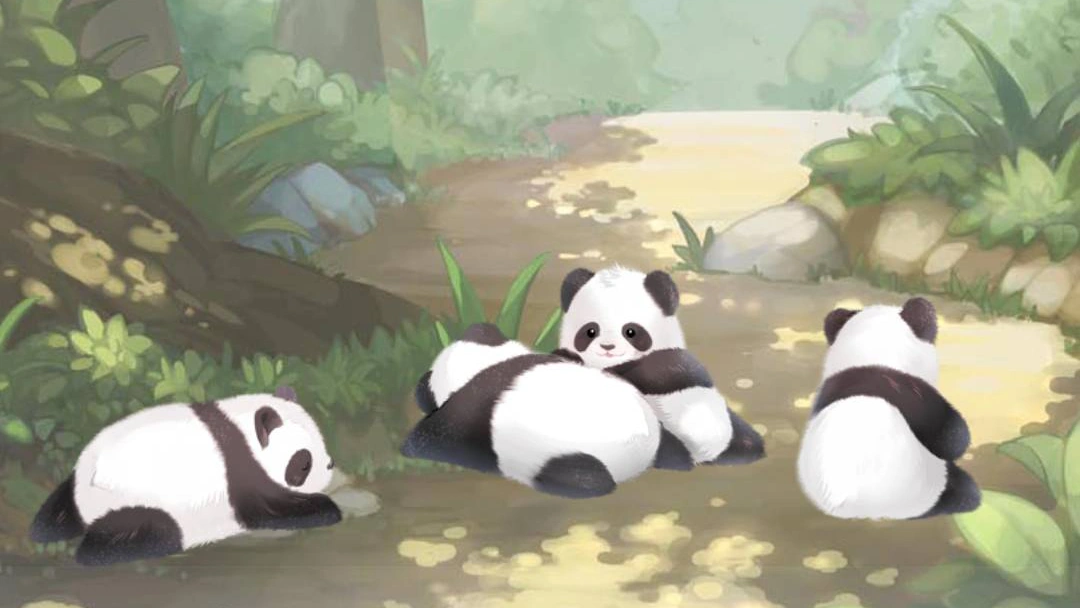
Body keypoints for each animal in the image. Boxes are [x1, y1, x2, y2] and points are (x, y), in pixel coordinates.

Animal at [29, 386, 342, 566]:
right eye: (304, 462)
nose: (329, 465)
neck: (240, 427)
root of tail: (88, 489)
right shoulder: (241, 471)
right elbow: (267, 507)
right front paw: (326, 507)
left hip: (71, 489)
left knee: (55, 513)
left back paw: (44, 531)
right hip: (140, 506)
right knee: (152, 532)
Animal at [552, 265, 765, 469]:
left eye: (631, 331)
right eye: (590, 331)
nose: (607, 347)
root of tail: (703, 455)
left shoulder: (672, 361)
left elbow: (670, 372)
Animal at [796, 297, 982, 520]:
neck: (872, 357)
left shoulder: (831, 387)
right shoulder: (912, 393)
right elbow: (951, 438)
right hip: (926, 491)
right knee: (964, 492)